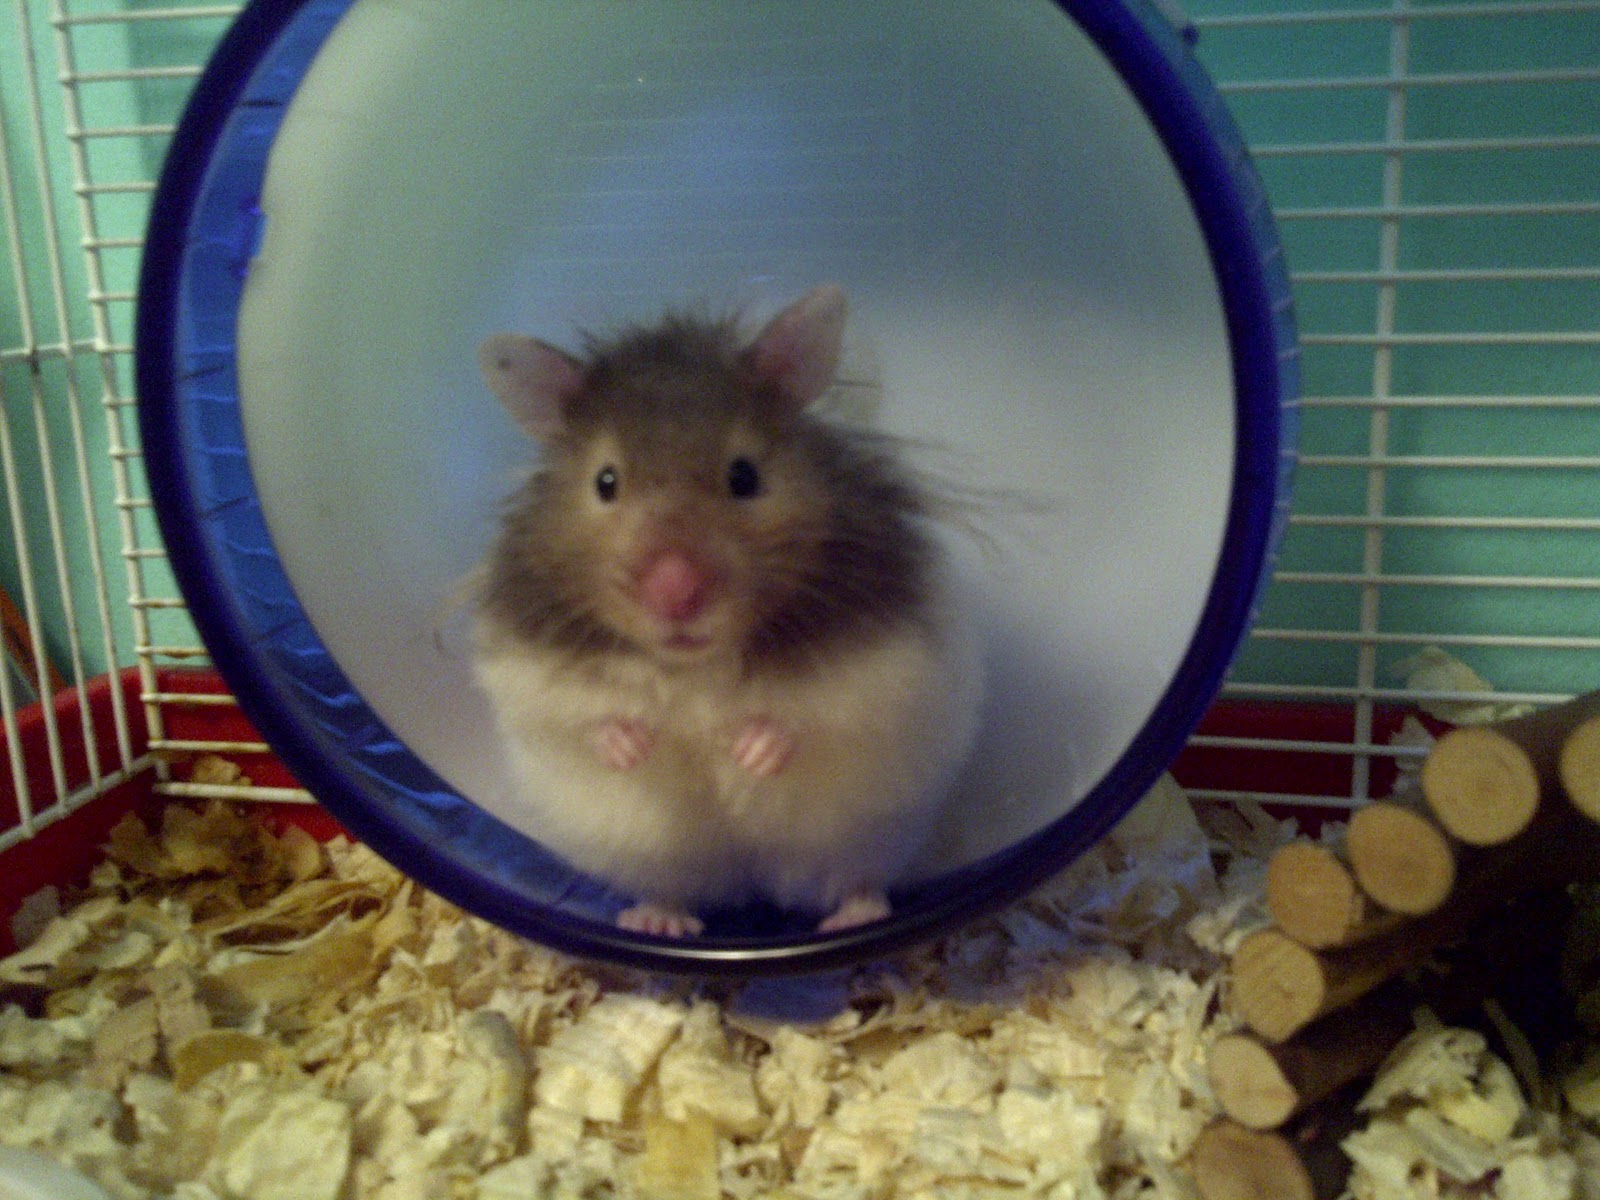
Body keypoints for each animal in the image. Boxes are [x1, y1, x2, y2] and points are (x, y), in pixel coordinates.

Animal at [470, 285, 982, 936]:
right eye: (605, 482)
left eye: (745, 475)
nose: (675, 592)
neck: (694, 664)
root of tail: (751, 888)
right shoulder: (522, 669)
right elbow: (577, 714)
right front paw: (636, 747)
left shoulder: (890, 657)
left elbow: (817, 711)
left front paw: (748, 753)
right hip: (650, 858)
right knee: (671, 890)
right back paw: (656, 922)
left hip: (869, 837)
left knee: (857, 880)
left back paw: (853, 917)